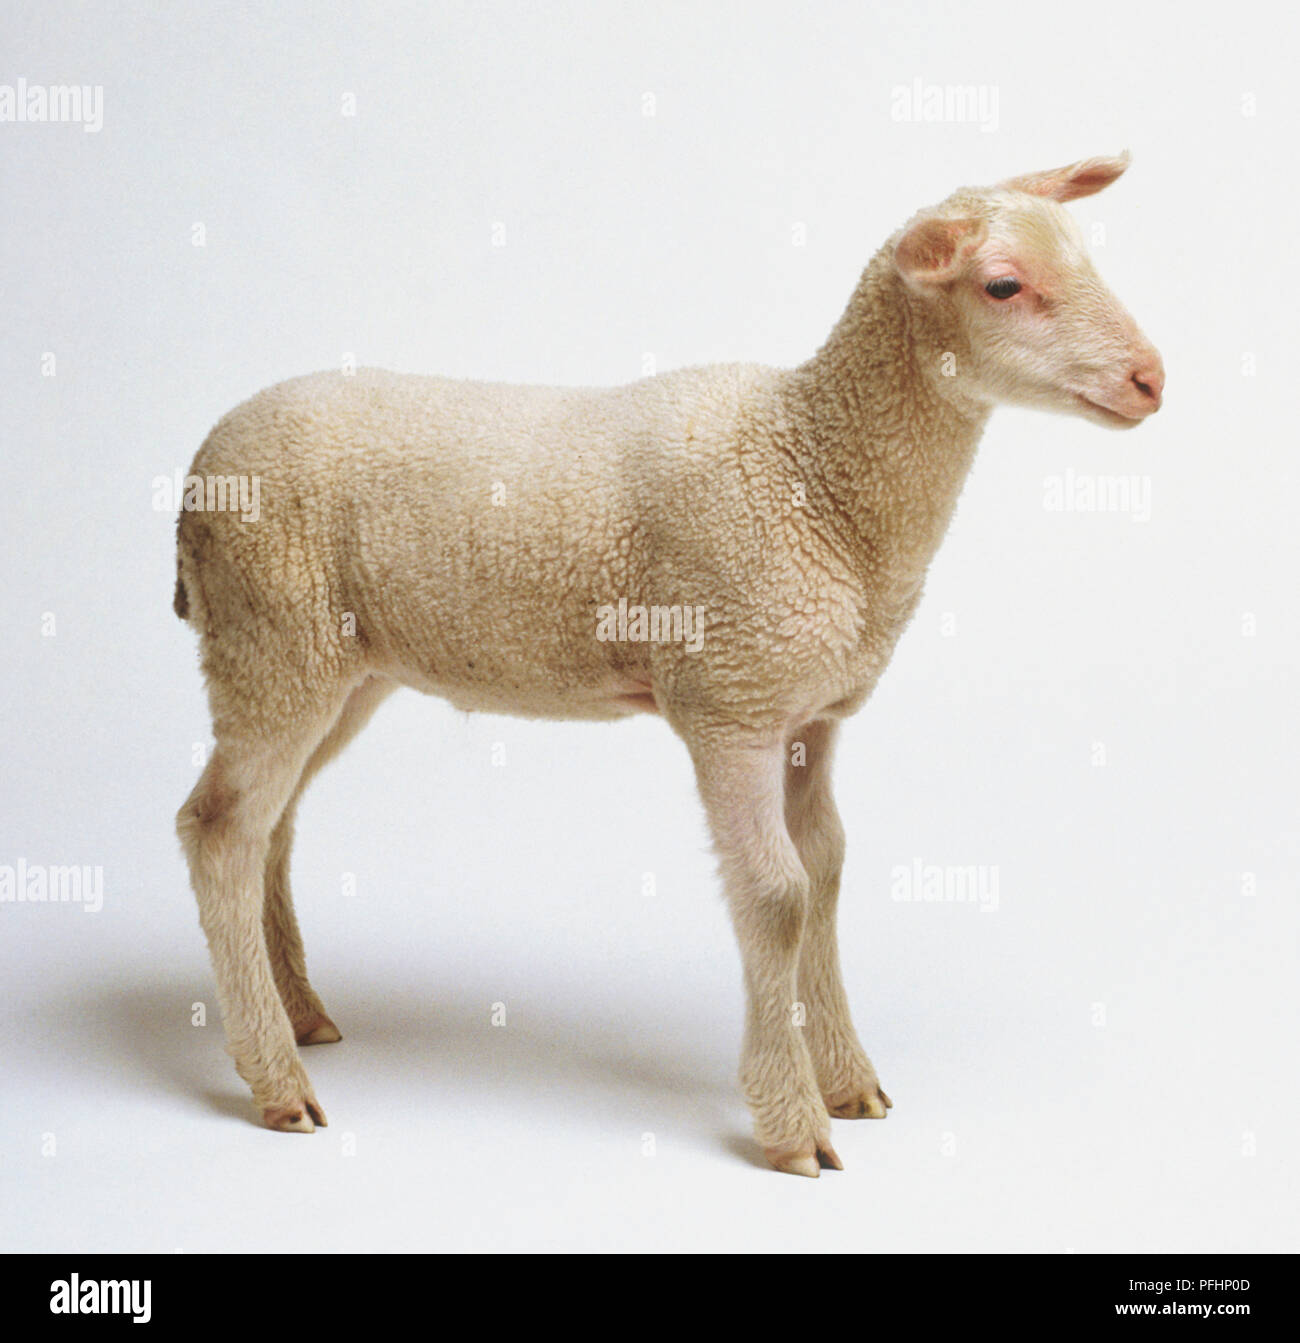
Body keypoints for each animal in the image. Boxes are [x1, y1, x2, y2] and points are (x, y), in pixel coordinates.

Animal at [174, 153, 1163, 1176]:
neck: (814, 465)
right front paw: (792, 1123)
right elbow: (777, 897)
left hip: (339, 668)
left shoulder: (808, 715)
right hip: (270, 636)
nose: (1151, 378)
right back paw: (278, 1079)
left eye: (1087, 254)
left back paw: (301, 1014)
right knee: (219, 830)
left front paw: (850, 1081)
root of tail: (204, 465)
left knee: (272, 826)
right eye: (1003, 285)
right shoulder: (730, 700)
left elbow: (827, 872)